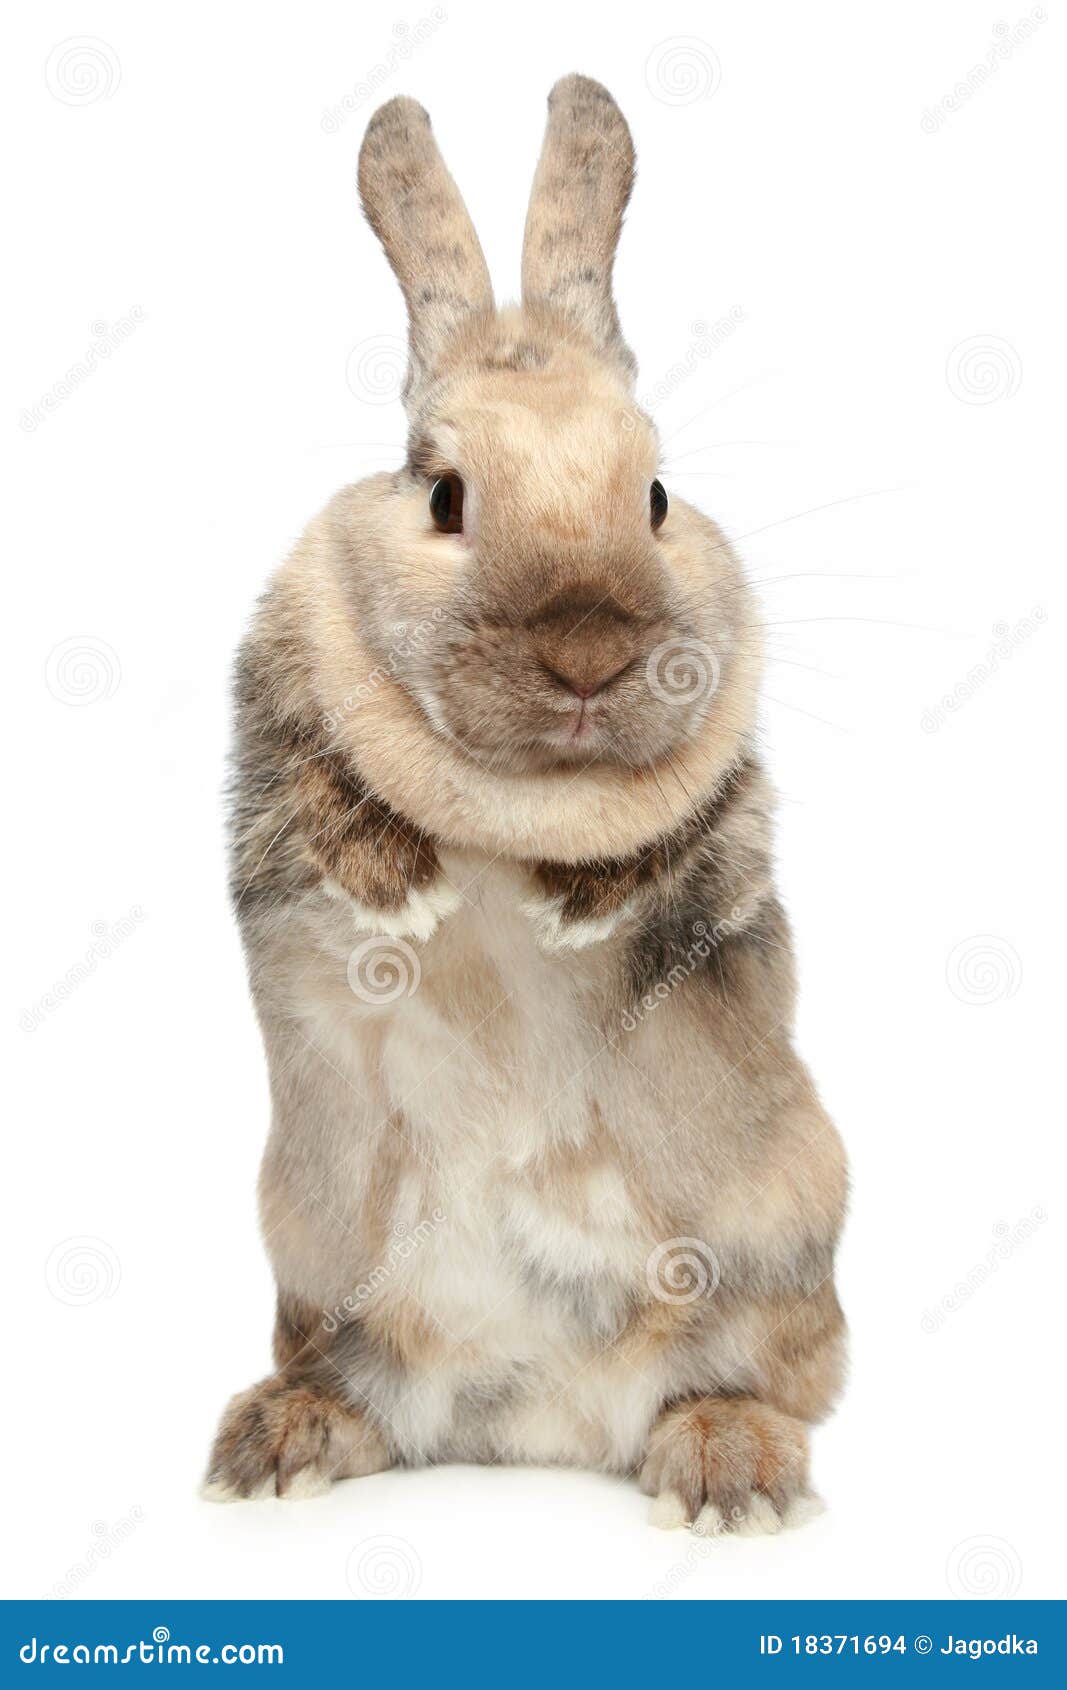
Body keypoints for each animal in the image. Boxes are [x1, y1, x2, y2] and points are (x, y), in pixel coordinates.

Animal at [204, 73, 847, 1537]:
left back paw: (725, 1467)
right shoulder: (270, 732)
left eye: (654, 492)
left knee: (746, 1383)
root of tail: (534, 1421)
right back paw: (281, 1437)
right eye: (442, 492)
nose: (587, 652)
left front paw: (578, 896)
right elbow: (319, 793)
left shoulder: (727, 803)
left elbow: (676, 841)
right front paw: (399, 883)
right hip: (320, 1272)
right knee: (359, 1390)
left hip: (778, 1246)